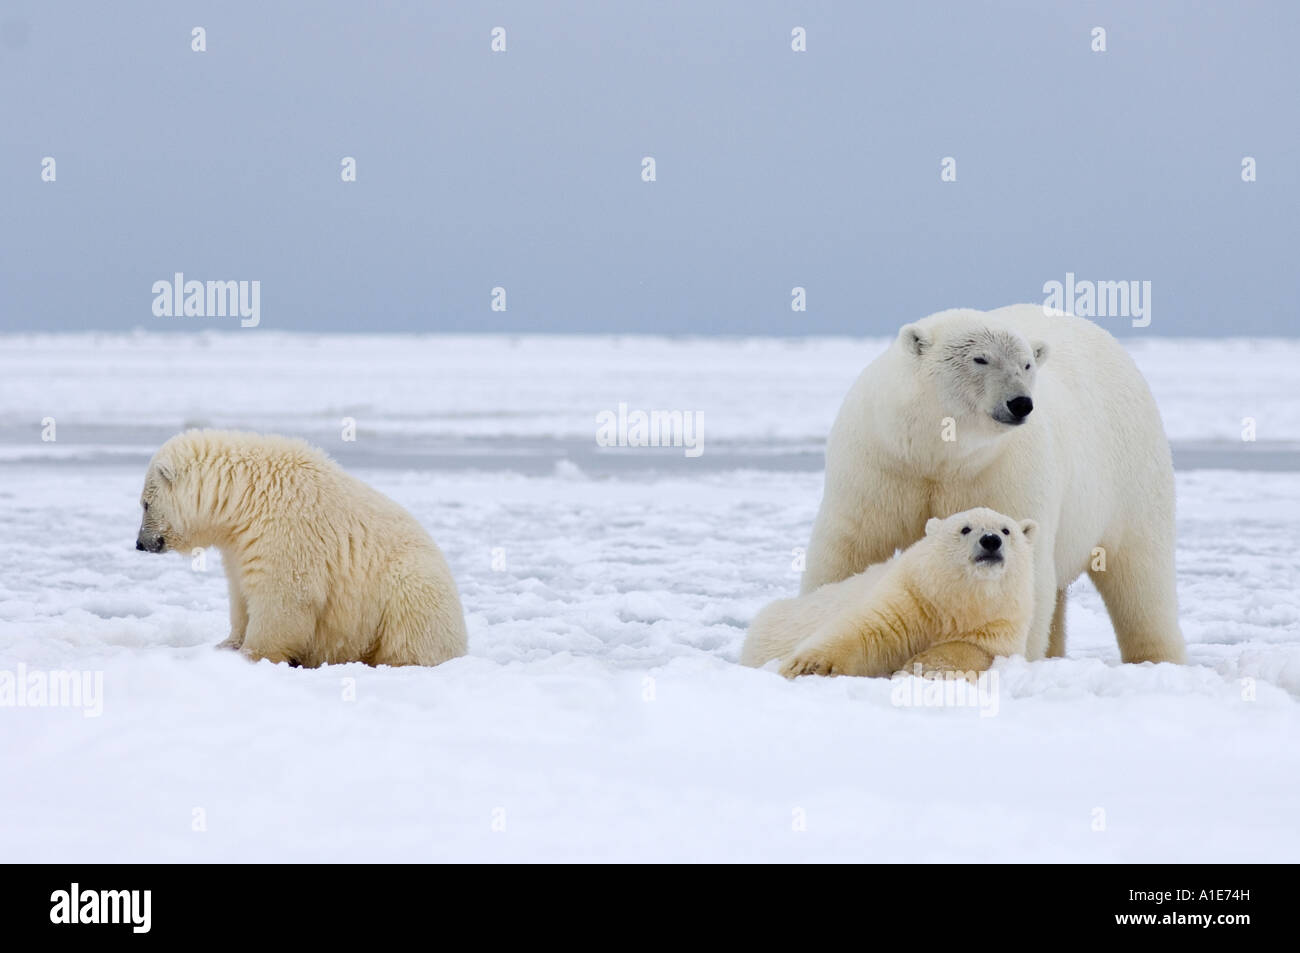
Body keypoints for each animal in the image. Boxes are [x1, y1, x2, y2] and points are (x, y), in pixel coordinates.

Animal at [134, 429, 468, 668]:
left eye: (145, 503)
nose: (140, 543)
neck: (247, 496)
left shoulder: (286, 532)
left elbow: (284, 598)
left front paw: (252, 654)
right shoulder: (239, 542)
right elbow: (241, 595)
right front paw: (226, 644)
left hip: (410, 589)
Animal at [743, 508, 1036, 677]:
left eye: (1006, 530)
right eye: (965, 528)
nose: (991, 540)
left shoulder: (1000, 619)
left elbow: (975, 649)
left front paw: (923, 668)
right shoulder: (910, 597)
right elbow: (868, 631)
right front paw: (807, 666)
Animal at [801, 303, 1185, 666]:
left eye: (1026, 365)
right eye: (980, 358)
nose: (1020, 403)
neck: (937, 455)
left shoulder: (1003, 471)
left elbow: (1022, 560)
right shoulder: (881, 463)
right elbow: (850, 546)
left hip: (1131, 470)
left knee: (1142, 575)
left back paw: (1157, 657)